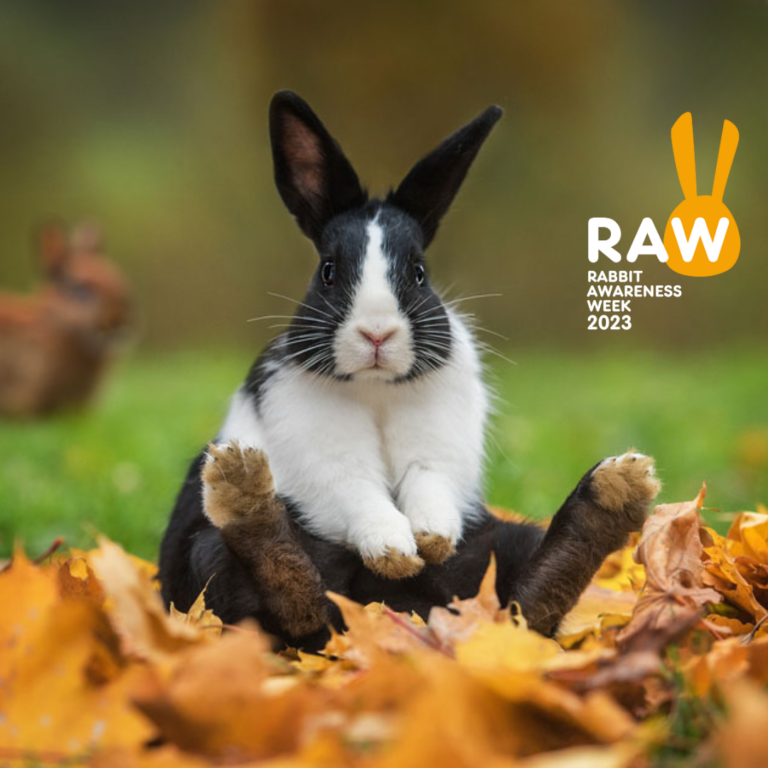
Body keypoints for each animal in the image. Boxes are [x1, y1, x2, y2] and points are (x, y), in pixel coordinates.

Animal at [159, 91, 661, 648]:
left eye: (419, 272)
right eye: (328, 271)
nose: (377, 334)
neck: (376, 388)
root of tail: (406, 613)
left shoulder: (437, 451)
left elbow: (428, 483)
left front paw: (430, 540)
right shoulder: (324, 456)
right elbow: (358, 491)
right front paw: (396, 553)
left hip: (501, 543)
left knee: (526, 605)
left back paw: (613, 494)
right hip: (208, 556)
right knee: (294, 603)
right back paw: (244, 488)